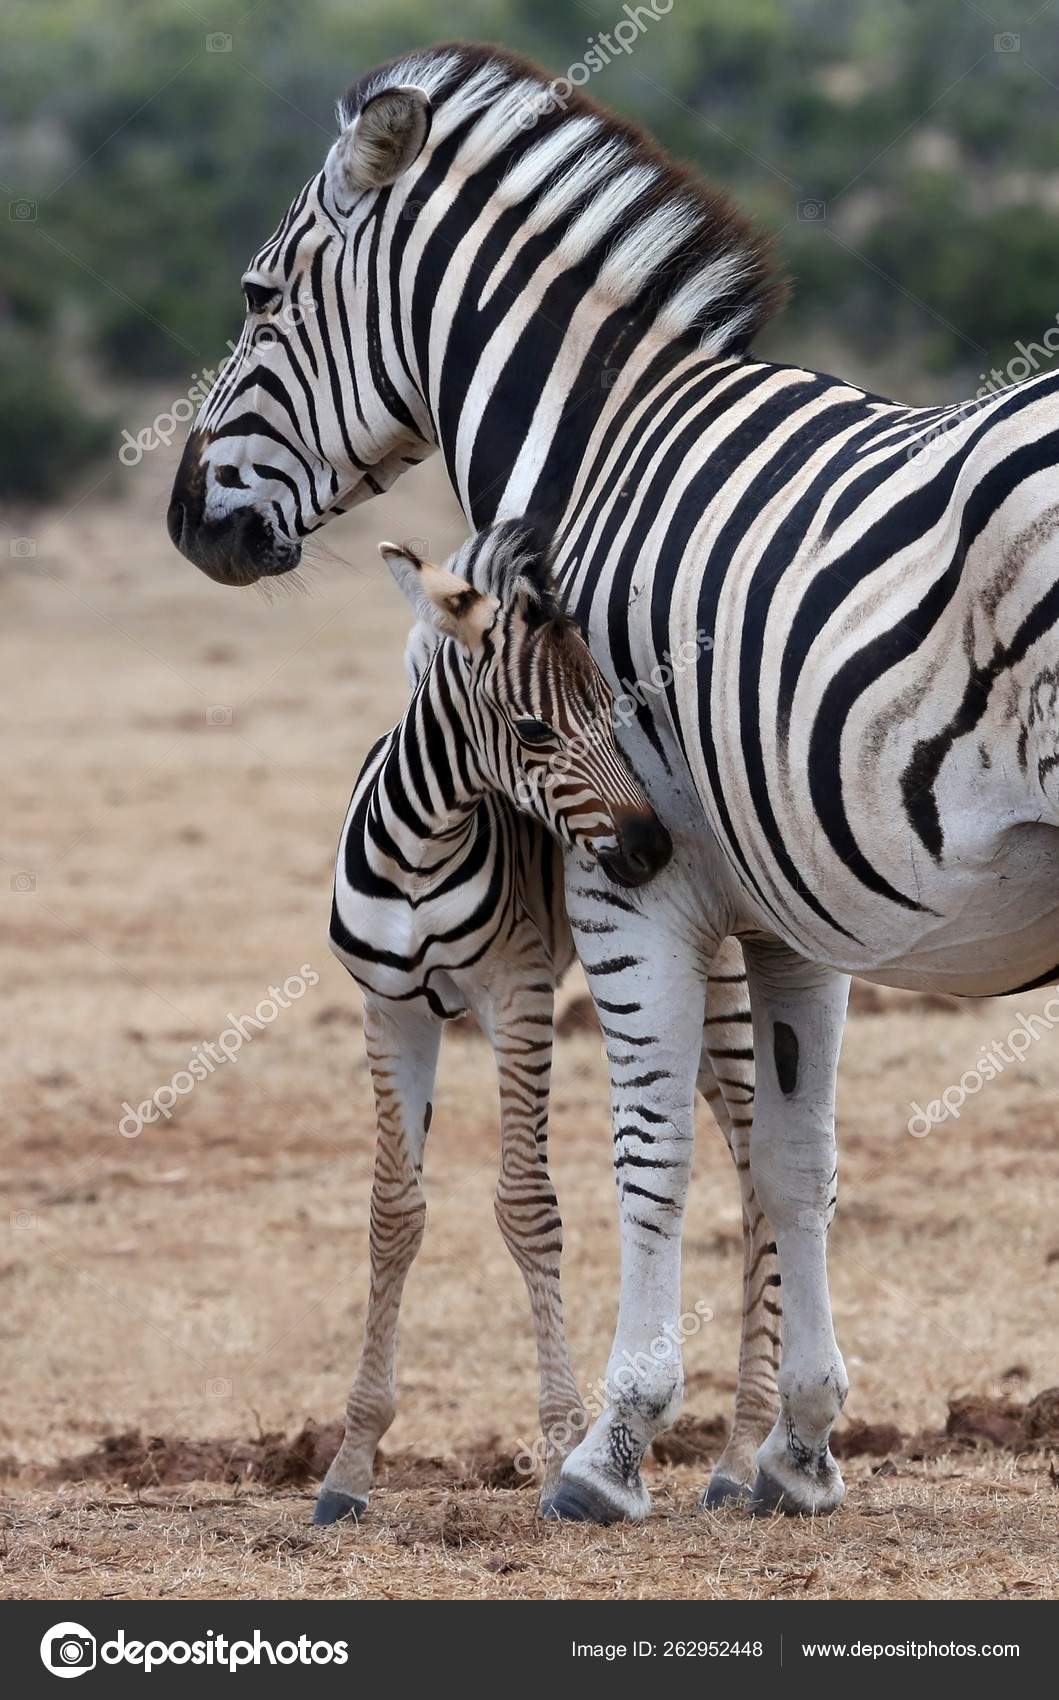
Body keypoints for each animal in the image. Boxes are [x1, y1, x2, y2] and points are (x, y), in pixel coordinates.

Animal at [315, 518, 775, 1522]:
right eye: (532, 729)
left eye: (616, 709)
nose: (650, 850)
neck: (419, 851)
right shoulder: (388, 1011)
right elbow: (392, 1213)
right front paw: (349, 1467)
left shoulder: (516, 993)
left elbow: (527, 1206)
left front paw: (566, 1445)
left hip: (719, 990)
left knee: (763, 1177)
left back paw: (744, 1453)